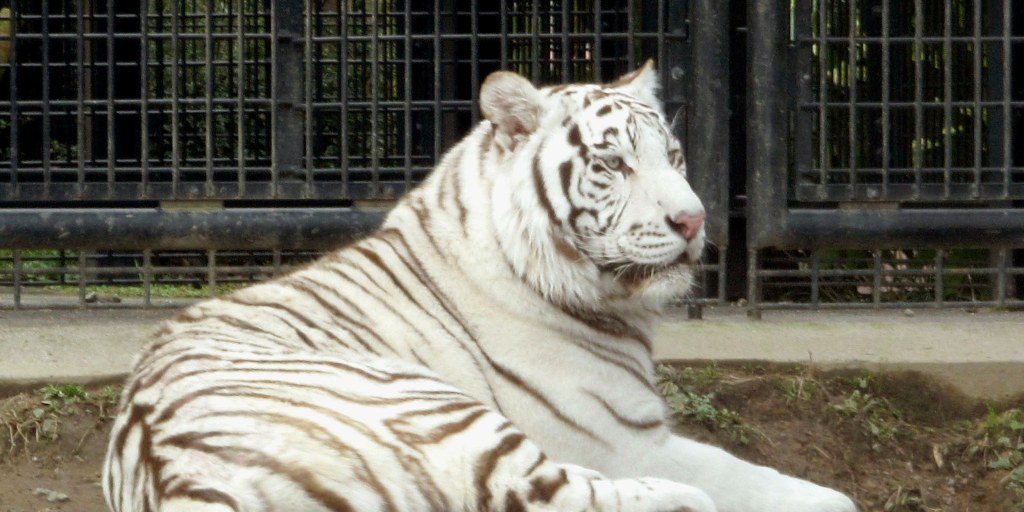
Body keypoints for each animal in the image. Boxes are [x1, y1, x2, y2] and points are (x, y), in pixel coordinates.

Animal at [103, 61, 857, 512]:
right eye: (613, 163)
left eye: (672, 156)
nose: (695, 219)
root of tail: (177, 476)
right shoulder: (620, 437)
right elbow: (744, 474)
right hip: (444, 412)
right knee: (579, 497)